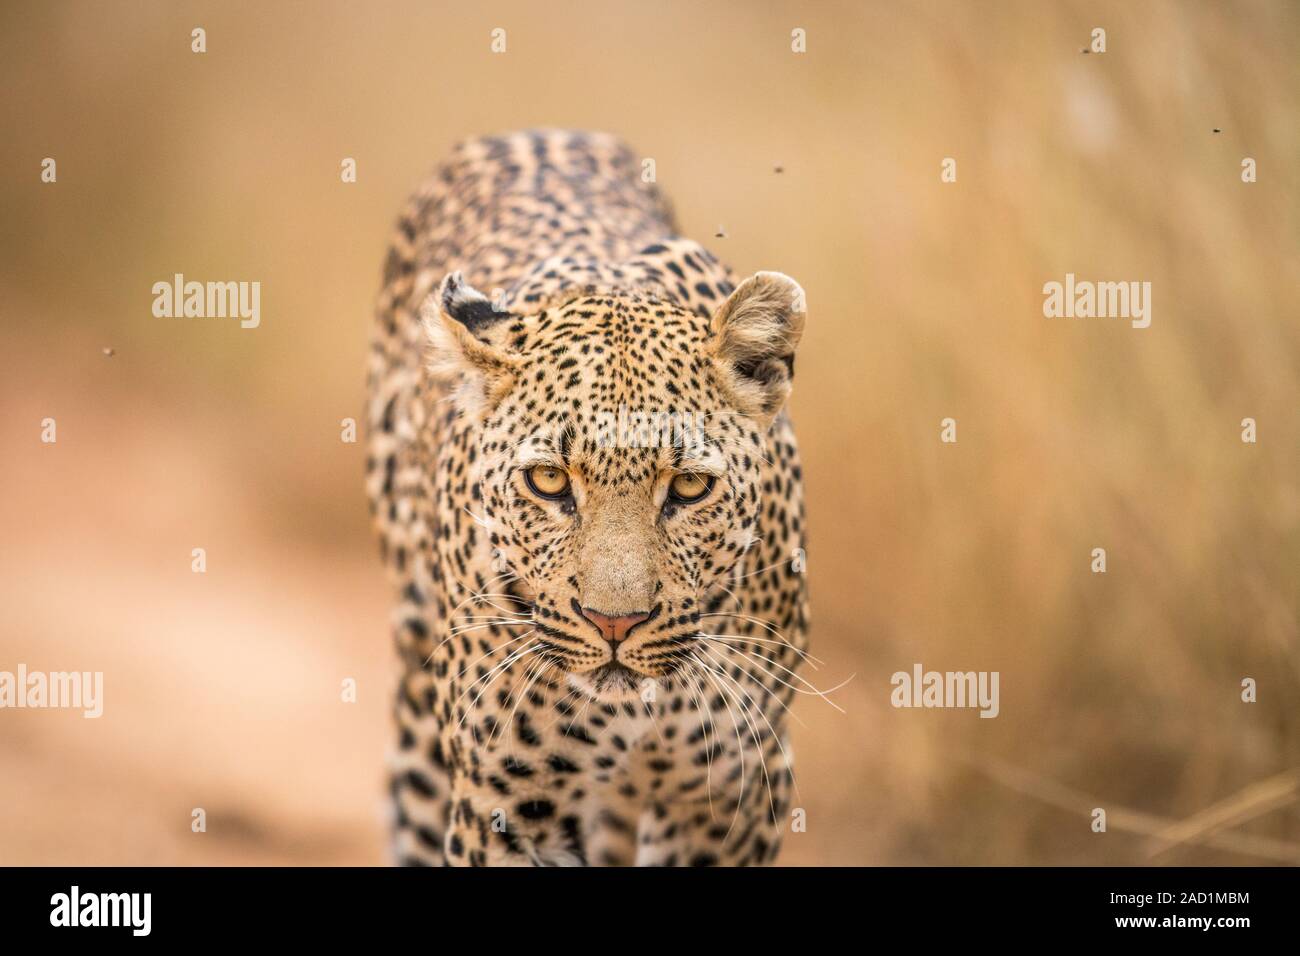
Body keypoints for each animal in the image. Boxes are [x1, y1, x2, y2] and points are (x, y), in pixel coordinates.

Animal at [365, 129, 810, 866]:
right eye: (549, 481)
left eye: (689, 487)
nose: (614, 624)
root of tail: (531, 130)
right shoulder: (509, 804)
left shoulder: (734, 800)